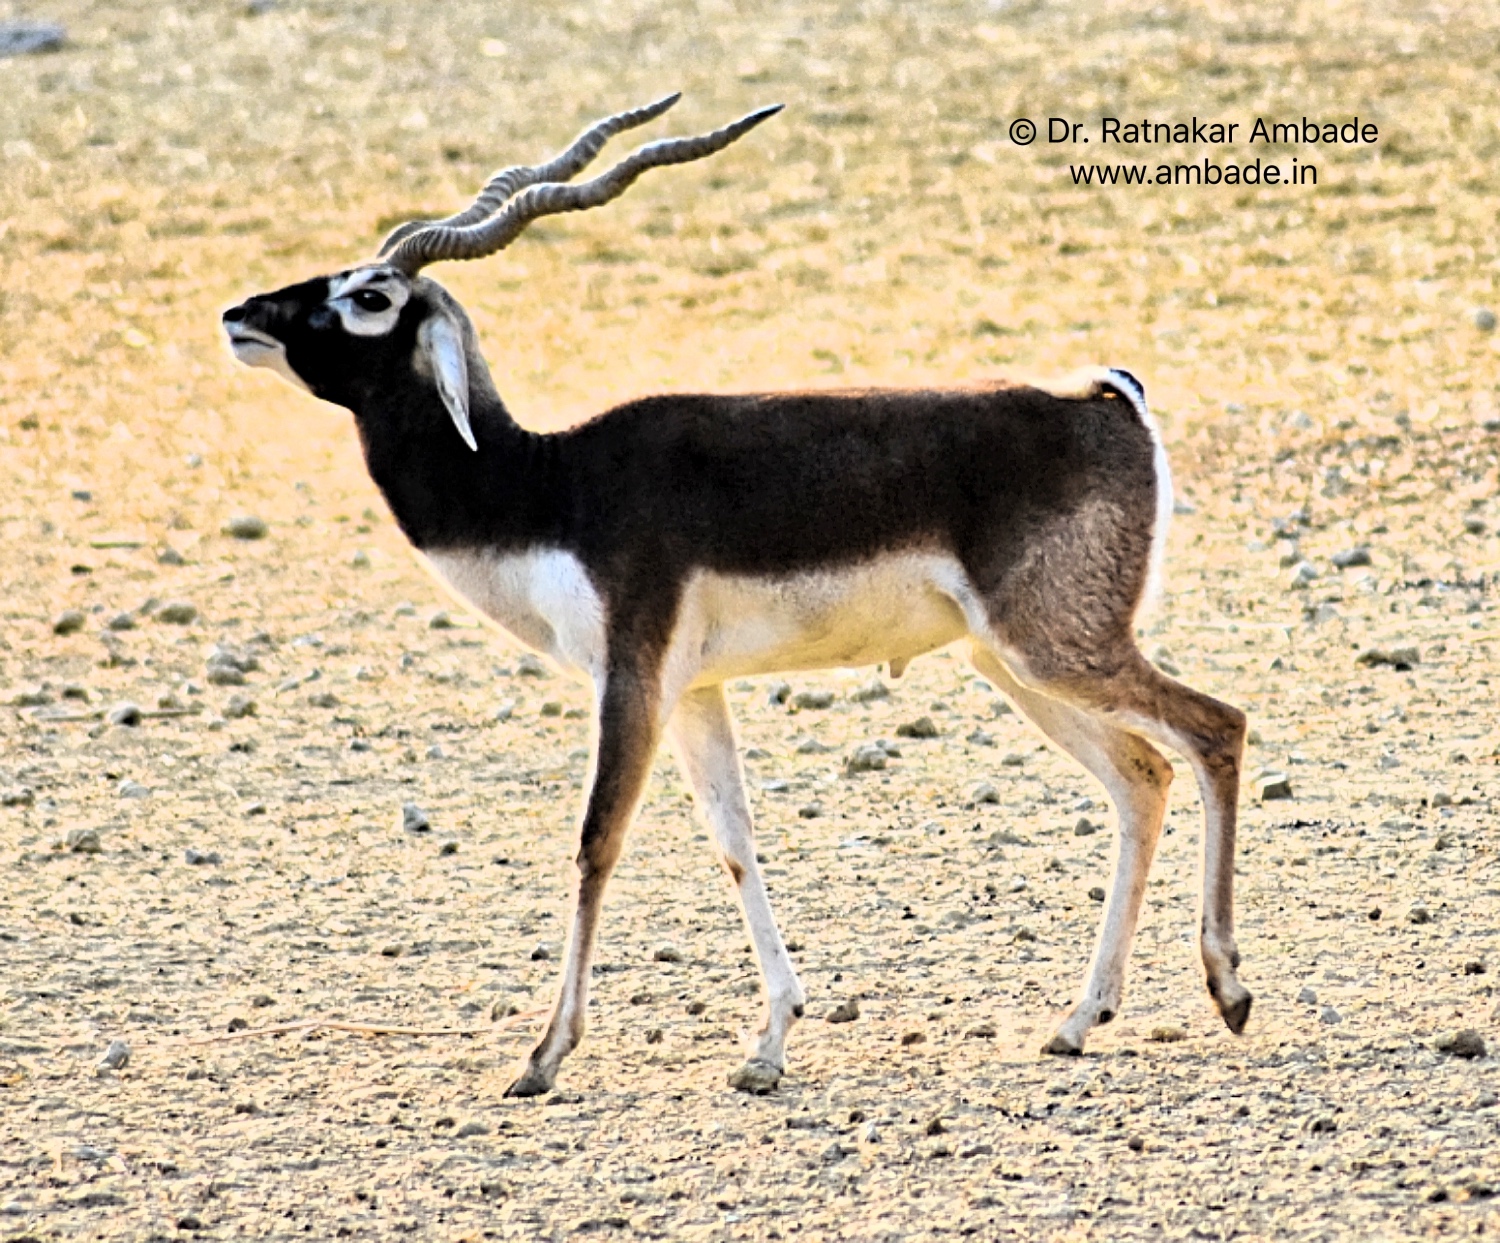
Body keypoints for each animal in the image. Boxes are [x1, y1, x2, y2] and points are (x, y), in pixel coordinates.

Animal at [221, 95, 1251, 1098]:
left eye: (370, 295)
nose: (240, 312)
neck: (547, 487)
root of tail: (1104, 400)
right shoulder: (694, 689)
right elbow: (734, 840)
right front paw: (770, 1041)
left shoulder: (631, 673)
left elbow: (596, 841)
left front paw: (545, 1055)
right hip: (1014, 663)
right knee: (1142, 775)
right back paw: (1080, 1020)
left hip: (1057, 649)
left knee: (1215, 726)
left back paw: (1229, 990)